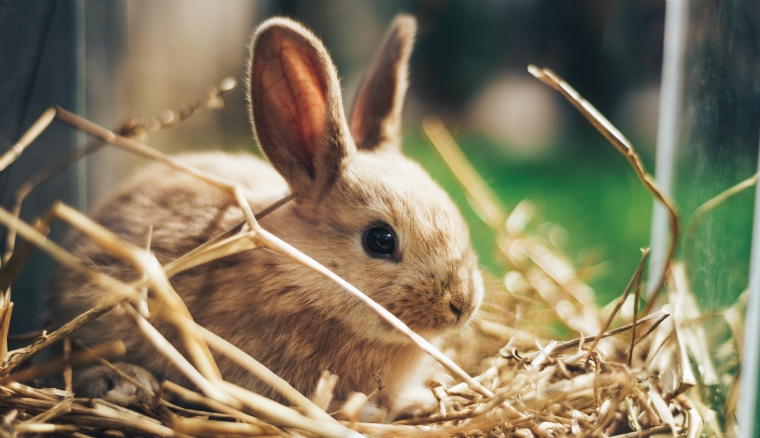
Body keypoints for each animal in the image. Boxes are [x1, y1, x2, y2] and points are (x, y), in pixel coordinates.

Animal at [47, 15, 484, 420]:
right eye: (380, 240)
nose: (460, 304)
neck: (300, 275)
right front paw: (371, 412)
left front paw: (419, 399)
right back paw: (126, 383)